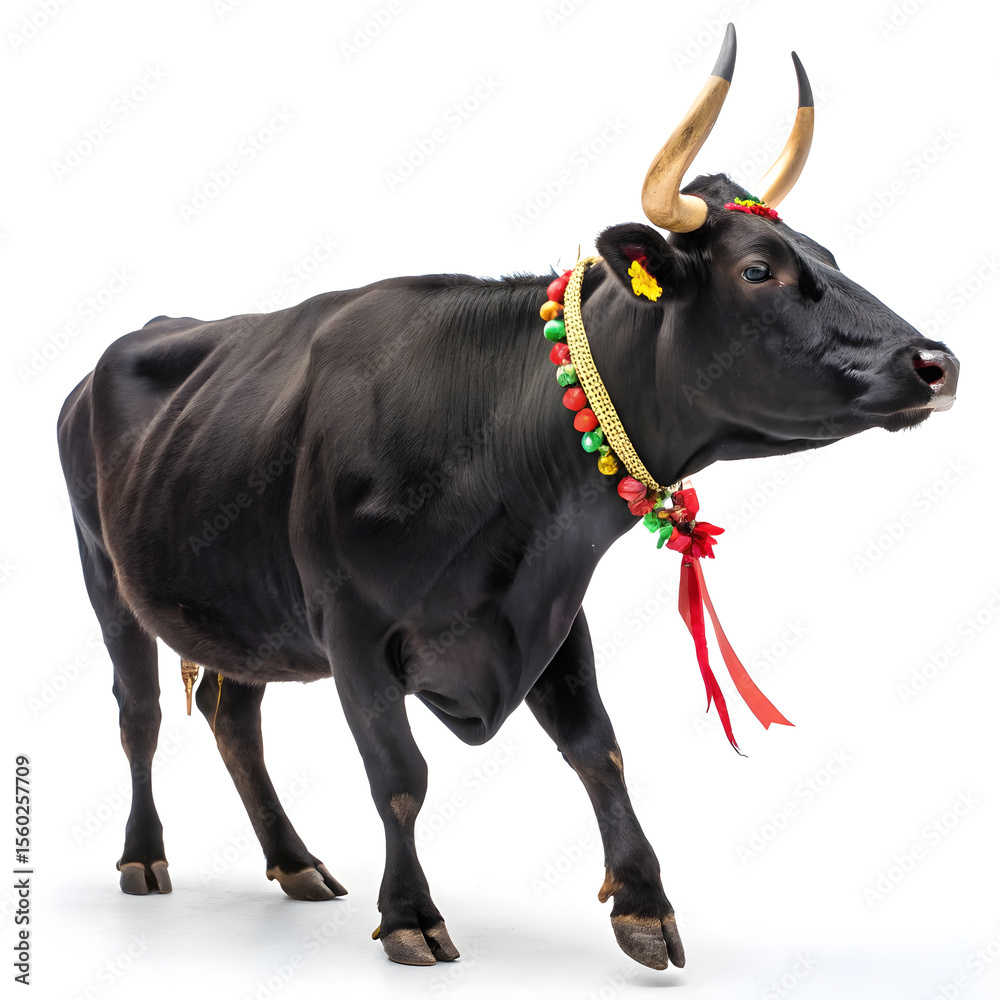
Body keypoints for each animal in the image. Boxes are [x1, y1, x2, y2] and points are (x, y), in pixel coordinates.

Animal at [57, 24, 957, 972]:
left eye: (829, 258)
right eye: (758, 270)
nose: (937, 363)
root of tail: (147, 331)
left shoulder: (548, 606)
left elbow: (598, 748)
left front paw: (645, 904)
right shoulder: (352, 627)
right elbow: (400, 777)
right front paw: (410, 914)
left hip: (239, 602)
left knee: (233, 715)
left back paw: (295, 861)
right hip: (103, 569)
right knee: (141, 713)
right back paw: (144, 857)